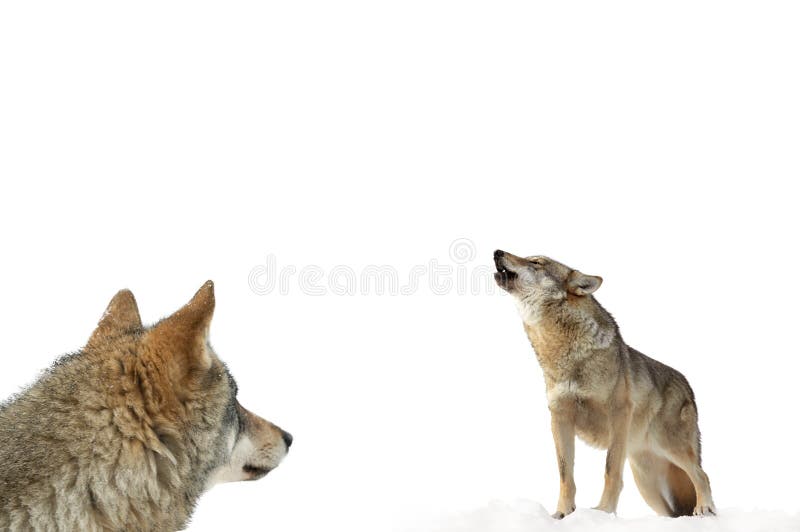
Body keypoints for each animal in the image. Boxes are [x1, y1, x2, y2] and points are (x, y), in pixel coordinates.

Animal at [493, 250, 715, 519]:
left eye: (536, 262)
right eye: (529, 258)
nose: (497, 252)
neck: (565, 354)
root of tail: (689, 387)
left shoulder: (618, 413)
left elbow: (611, 470)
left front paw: (603, 511)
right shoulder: (559, 418)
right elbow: (565, 474)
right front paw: (562, 514)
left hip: (671, 448)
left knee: (702, 475)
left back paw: (704, 507)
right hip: (648, 486)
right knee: (674, 509)